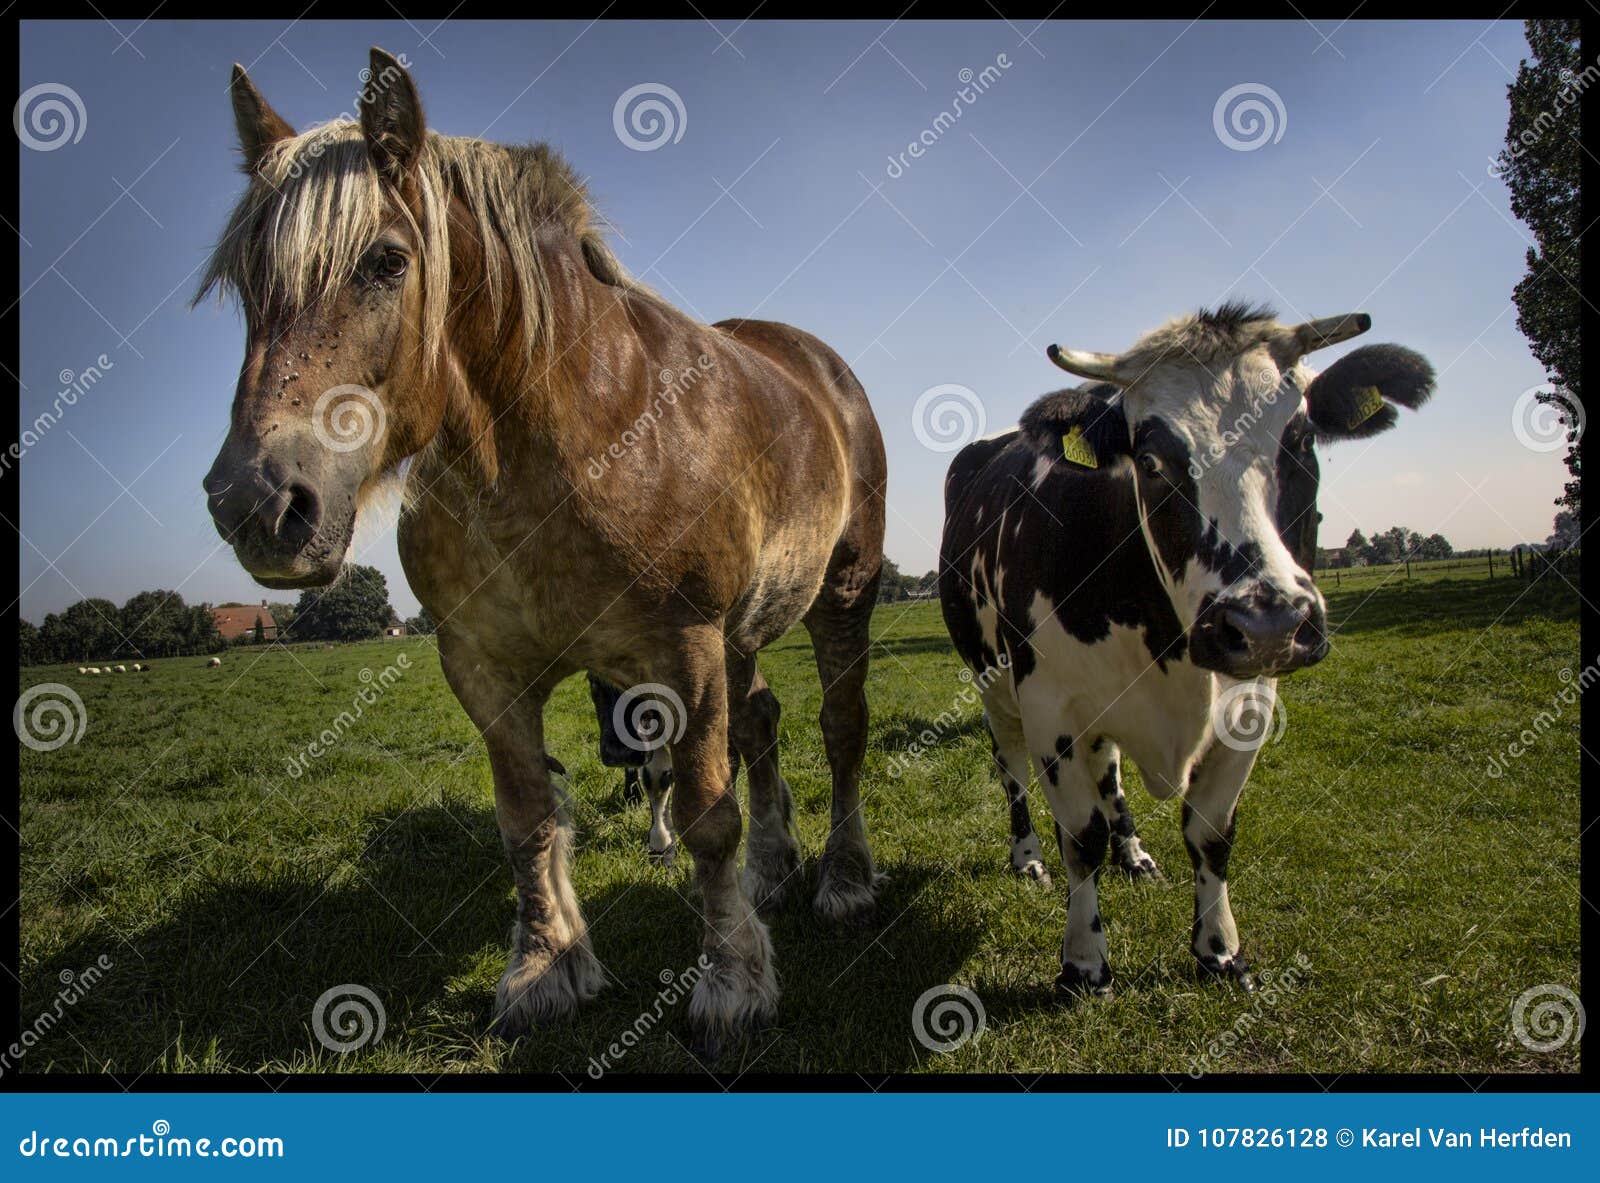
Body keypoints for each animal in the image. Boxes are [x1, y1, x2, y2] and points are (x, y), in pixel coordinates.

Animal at [200, 48, 887, 1050]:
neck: (571, 436)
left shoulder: (683, 654)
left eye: (386, 260)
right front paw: (545, 967)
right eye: (247, 280)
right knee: (761, 722)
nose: (257, 502)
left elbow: (703, 815)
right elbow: (526, 817)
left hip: (839, 595)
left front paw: (731, 982)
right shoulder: (484, 667)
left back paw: (842, 877)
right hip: (745, 630)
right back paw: (774, 868)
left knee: (841, 729)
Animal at [939, 302, 1433, 999]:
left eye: (1302, 439)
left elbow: (1210, 833)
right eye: (1151, 463)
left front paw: (1219, 950)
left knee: (1111, 771)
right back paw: (1029, 857)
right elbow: (1080, 839)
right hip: (993, 686)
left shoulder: (1251, 701)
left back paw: (1134, 852)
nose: (1267, 622)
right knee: (1011, 771)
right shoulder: (1049, 708)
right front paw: (1084, 964)